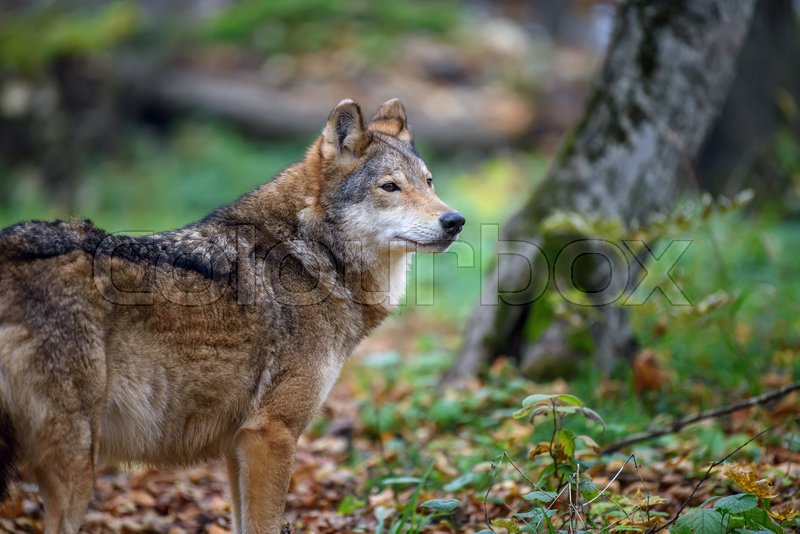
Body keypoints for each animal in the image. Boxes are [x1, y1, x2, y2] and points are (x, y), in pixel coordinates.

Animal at [0, 98, 464, 533]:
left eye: (428, 182)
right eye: (390, 186)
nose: (455, 220)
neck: (314, 255)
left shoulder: (236, 445)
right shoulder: (270, 434)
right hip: (77, 467)